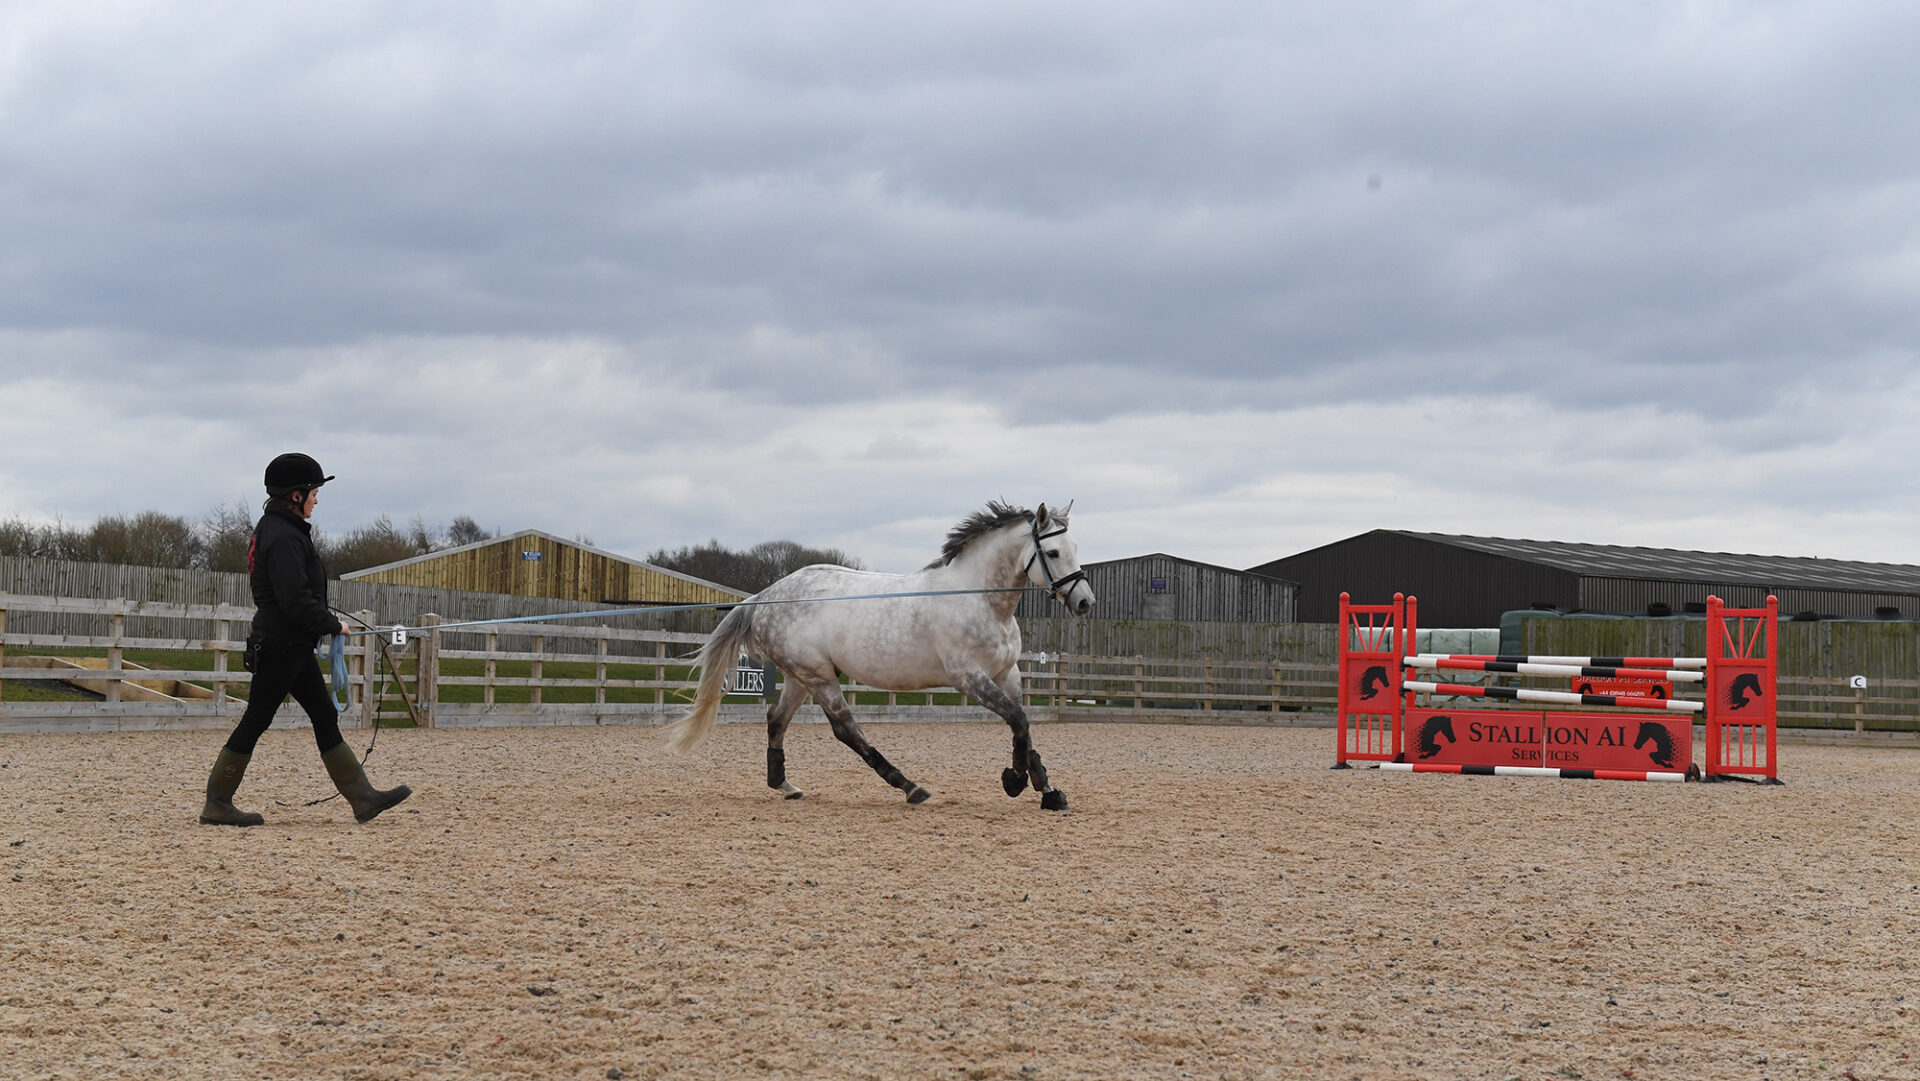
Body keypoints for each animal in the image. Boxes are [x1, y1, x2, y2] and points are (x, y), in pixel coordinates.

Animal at [664, 501, 1096, 810]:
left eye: (1076, 548)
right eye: (1052, 552)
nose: (1085, 603)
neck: (978, 600)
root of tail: (763, 597)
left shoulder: (1008, 672)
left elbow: (1025, 726)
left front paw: (1048, 790)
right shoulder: (969, 677)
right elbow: (1018, 720)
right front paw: (1016, 780)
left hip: (800, 677)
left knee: (776, 719)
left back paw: (785, 785)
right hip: (819, 676)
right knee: (845, 729)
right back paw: (908, 786)